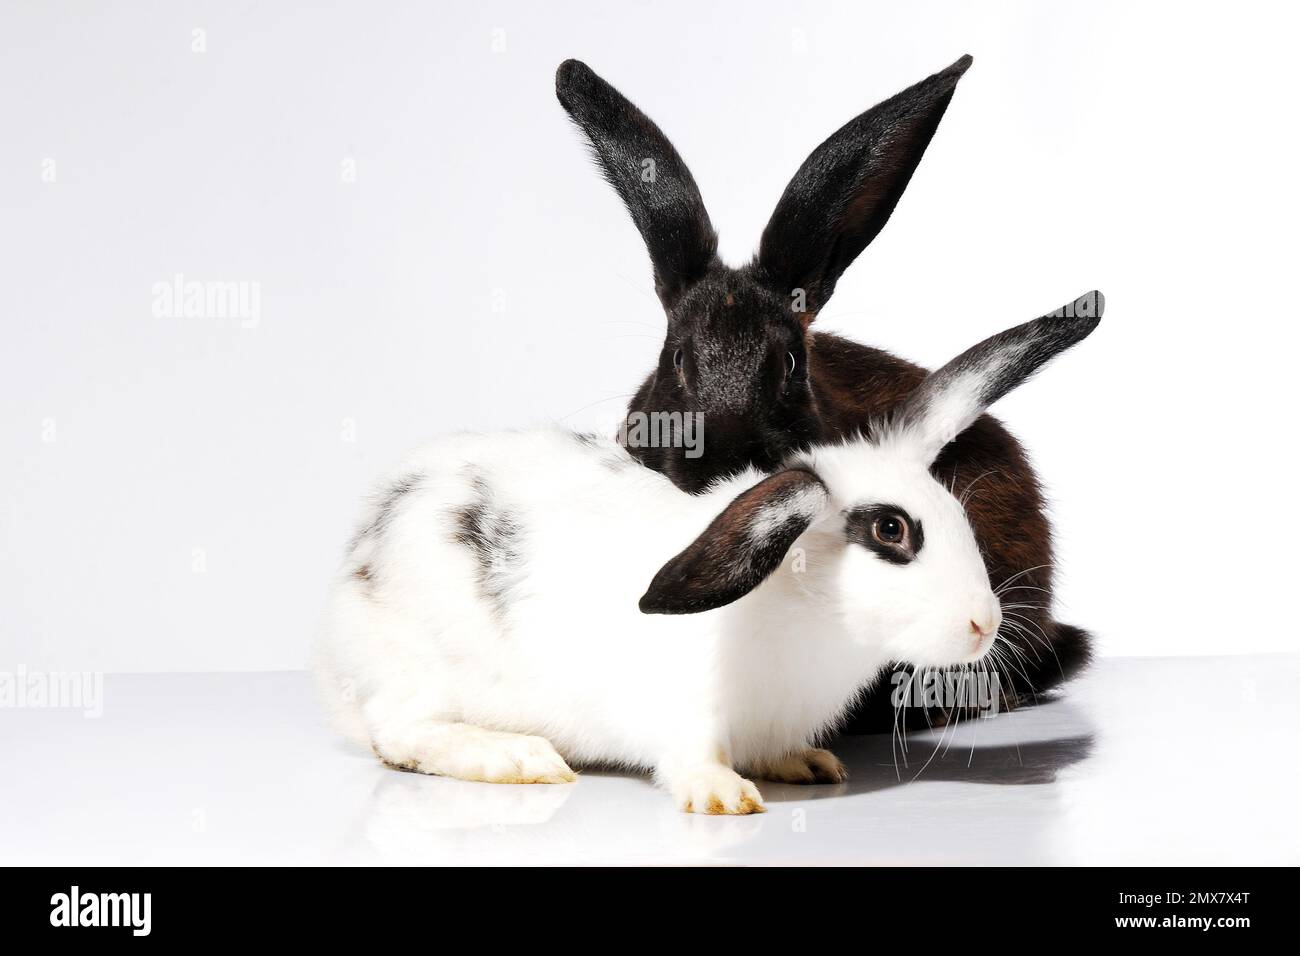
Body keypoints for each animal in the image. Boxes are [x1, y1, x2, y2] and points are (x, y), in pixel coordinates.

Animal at [313, 300, 1099, 814]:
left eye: (955, 513)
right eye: (890, 531)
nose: (984, 625)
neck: (801, 608)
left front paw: (807, 764)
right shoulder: (680, 708)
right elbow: (689, 756)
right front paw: (725, 796)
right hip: (420, 672)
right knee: (400, 734)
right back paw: (521, 758)